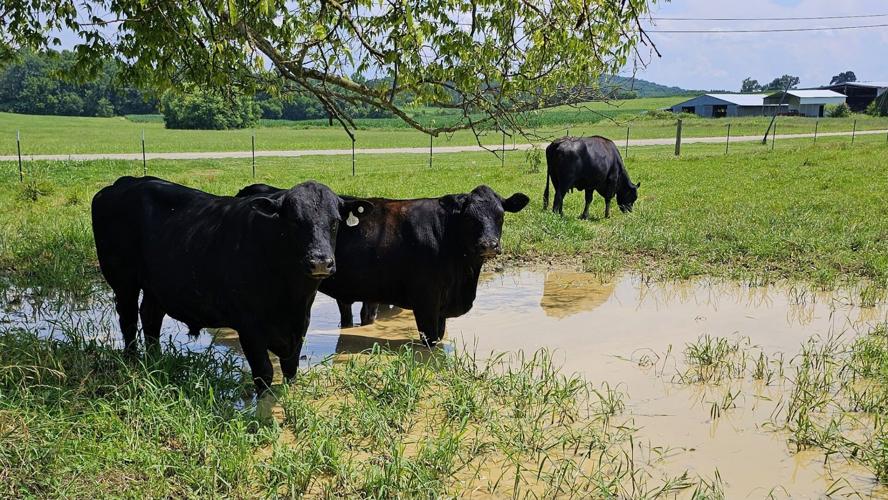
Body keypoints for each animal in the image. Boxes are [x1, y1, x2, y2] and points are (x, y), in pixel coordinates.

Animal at [91, 176, 373, 394]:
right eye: (294, 220)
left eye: (335, 222)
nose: (320, 261)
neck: (291, 295)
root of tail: (124, 183)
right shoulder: (249, 327)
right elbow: (264, 374)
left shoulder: (299, 325)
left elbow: (290, 369)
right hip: (122, 281)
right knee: (128, 320)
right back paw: (132, 361)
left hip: (156, 286)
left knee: (150, 318)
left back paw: (155, 362)